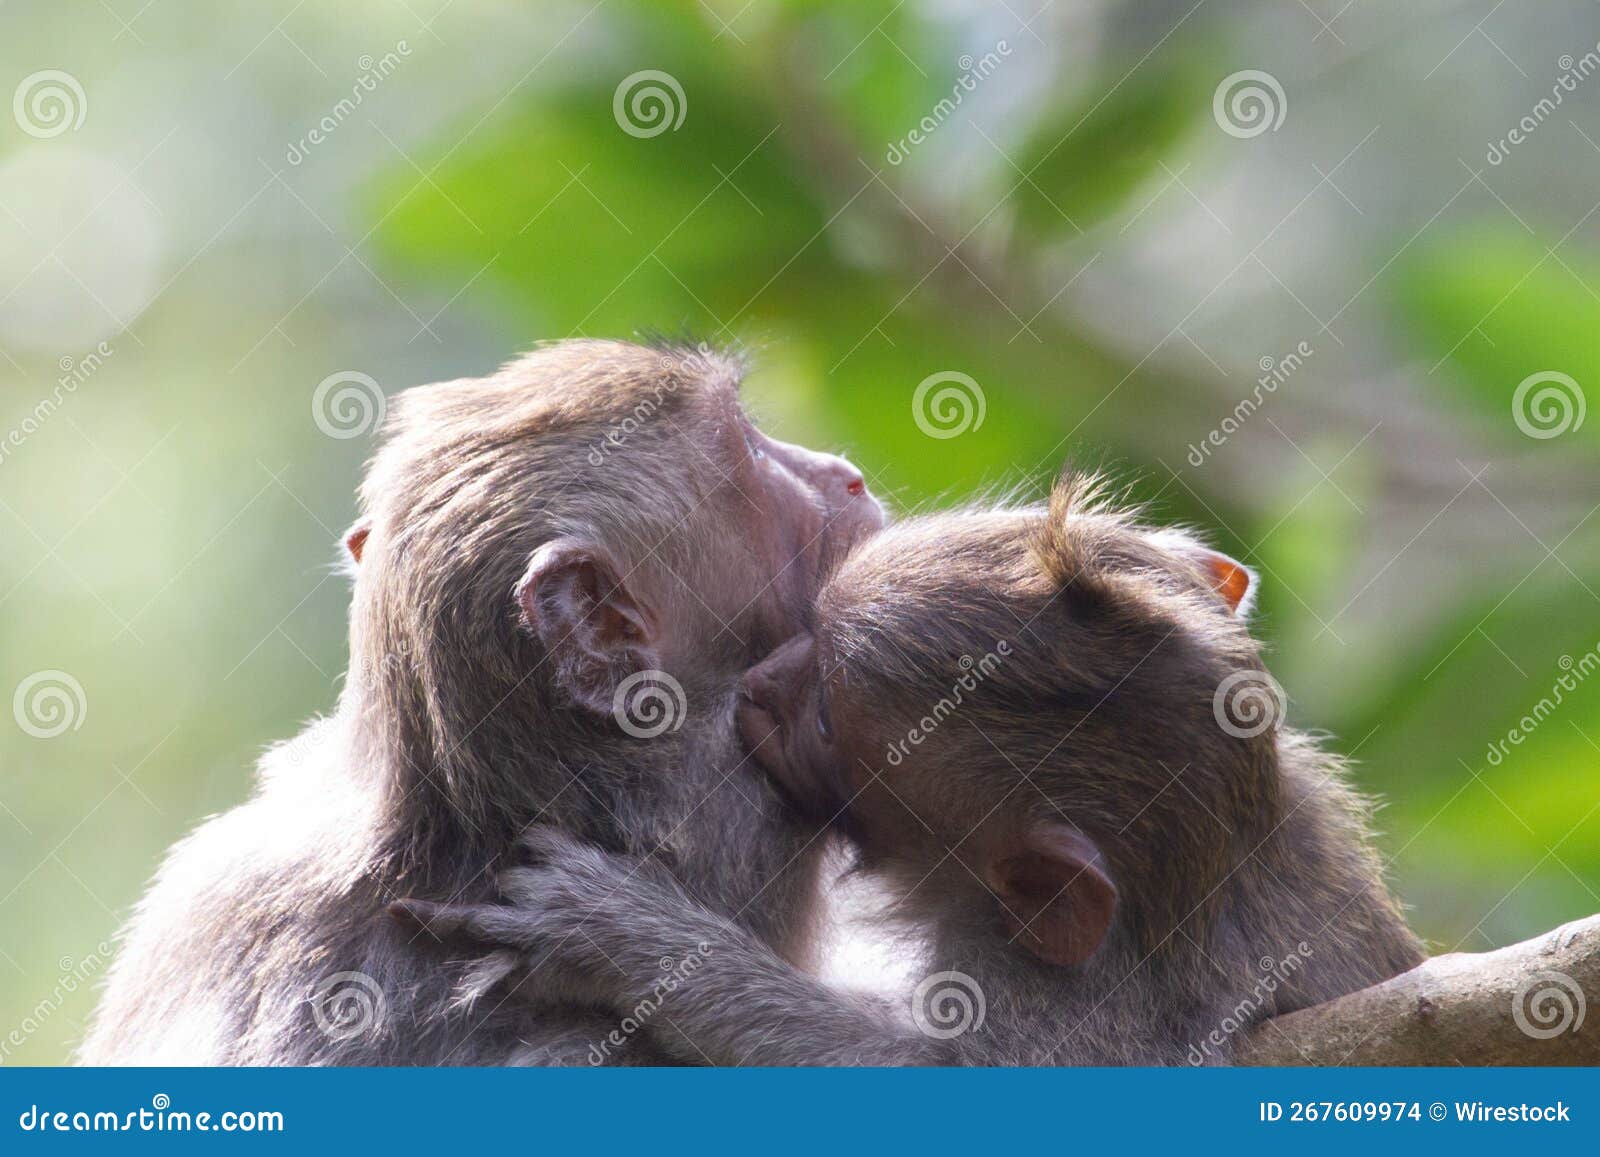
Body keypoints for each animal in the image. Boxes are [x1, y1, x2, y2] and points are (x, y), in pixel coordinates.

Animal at [396, 470, 1425, 1065]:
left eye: (825, 717)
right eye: (810, 631)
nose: (759, 683)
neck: (1206, 869)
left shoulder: (1066, 989)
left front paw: (619, 938)